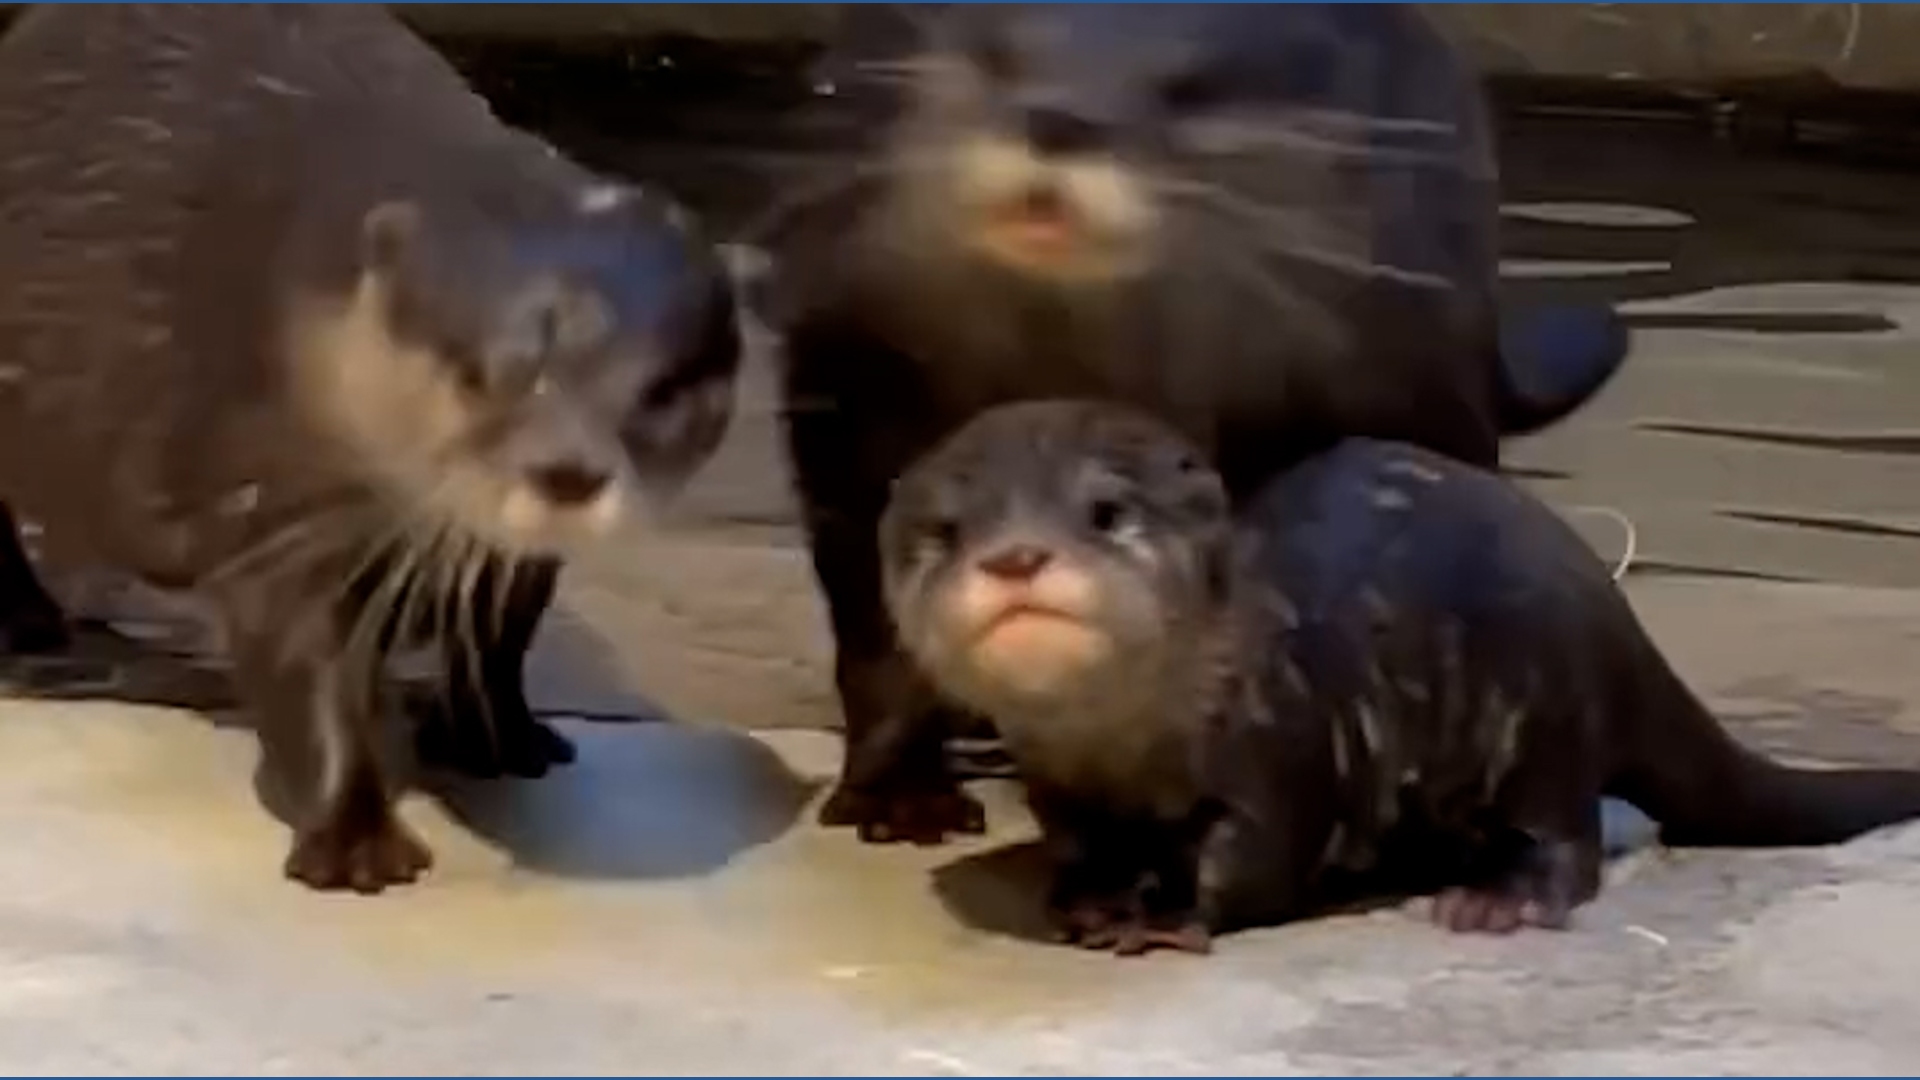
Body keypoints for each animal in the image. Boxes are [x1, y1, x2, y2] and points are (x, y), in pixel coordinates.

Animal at [0, 3, 741, 893]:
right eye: (480, 373)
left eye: (661, 392)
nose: (567, 471)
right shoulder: (271, 494)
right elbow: (304, 666)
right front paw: (357, 840)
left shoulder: (508, 556)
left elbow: (501, 631)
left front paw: (499, 734)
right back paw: (26, 635)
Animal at [763, 2, 1629, 845]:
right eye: (993, 55)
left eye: (1189, 89)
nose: (1060, 119)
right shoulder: (855, 379)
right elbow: (878, 626)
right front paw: (900, 795)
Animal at [880, 401, 1920, 954]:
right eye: (944, 532)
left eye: (1107, 512)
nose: (1015, 557)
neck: (1140, 758)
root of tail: (1610, 609)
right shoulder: (1061, 787)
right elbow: (1079, 851)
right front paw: (1094, 898)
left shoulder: (1280, 752)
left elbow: (1250, 861)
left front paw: (1164, 914)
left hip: (1544, 714)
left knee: (1566, 834)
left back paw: (1498, 898)